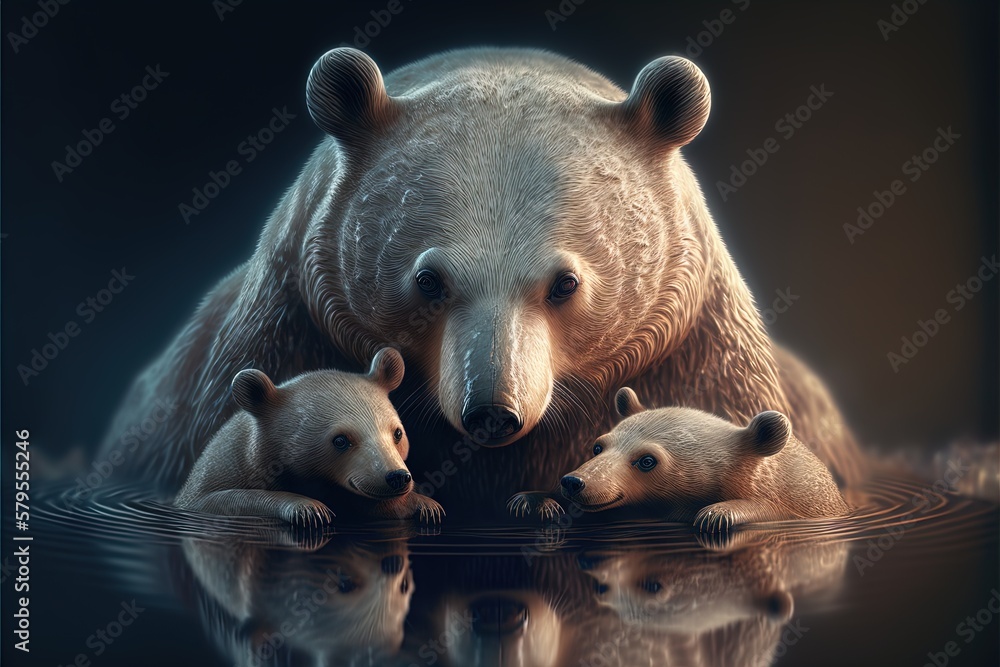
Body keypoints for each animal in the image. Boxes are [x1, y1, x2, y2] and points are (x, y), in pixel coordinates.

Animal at [174, 347, 444, 526]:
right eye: (340, 440)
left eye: (397, 433)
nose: (397, 477)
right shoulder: (210, 486)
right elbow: (227, 499)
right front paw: (308, 508)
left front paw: (424, 504)